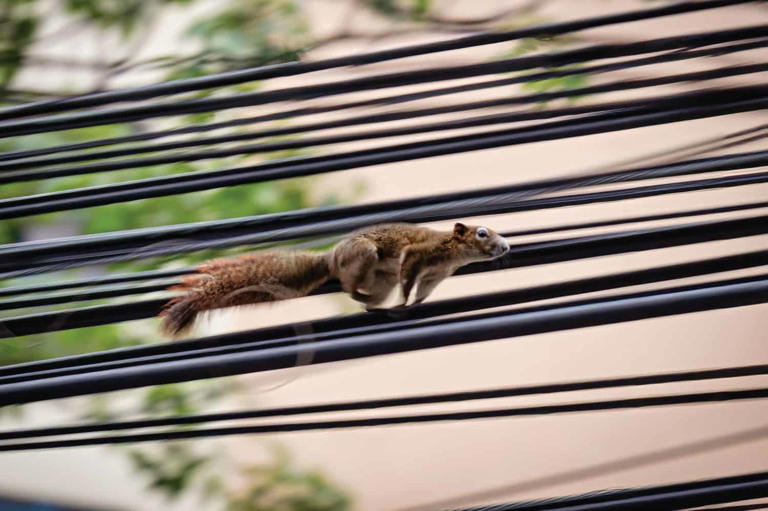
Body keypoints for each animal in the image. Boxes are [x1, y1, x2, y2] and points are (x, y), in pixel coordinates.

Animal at [159, 222, 510, 337]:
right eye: (482, 233)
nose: (506, 246)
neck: (451, 254)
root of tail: (330, 256)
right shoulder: (418, 253)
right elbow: (409, 273)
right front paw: (406, 301)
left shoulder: (435, 275)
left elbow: (424, 288)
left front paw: (416, 302)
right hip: (364, 254)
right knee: (348, 285)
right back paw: (359, 296)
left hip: (381, 282)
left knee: (369, 294)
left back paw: (372, 305)